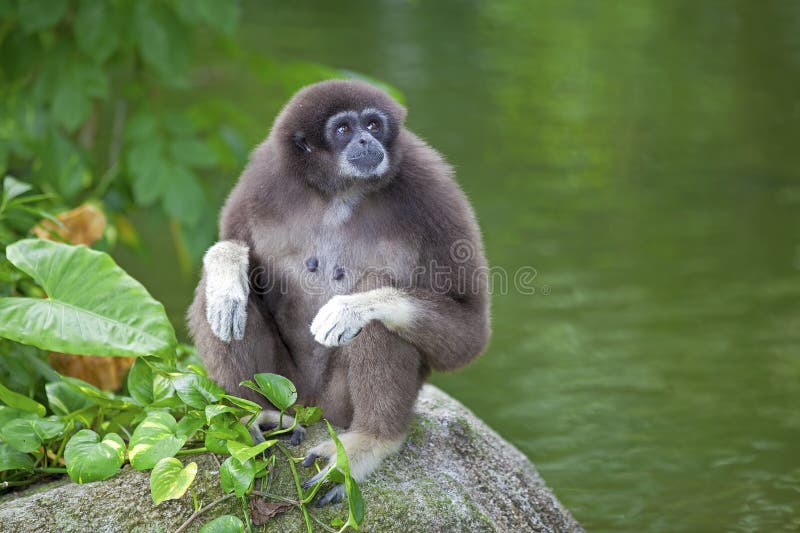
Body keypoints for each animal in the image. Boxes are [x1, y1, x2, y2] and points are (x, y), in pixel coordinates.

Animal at [188, 79, 490, 506]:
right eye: (344, 129)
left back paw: (368, 441)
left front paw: (350, 309)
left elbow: (469, 330)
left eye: (374, 124)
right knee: (221, 301)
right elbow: (232, 250)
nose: (365, 139)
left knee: (377, 314)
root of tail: (313, 409)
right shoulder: (263, 175)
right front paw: (228, 272)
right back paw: (255, 411)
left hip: (335, 405)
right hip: (284, 385)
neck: (340, 193)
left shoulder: (432, 188)